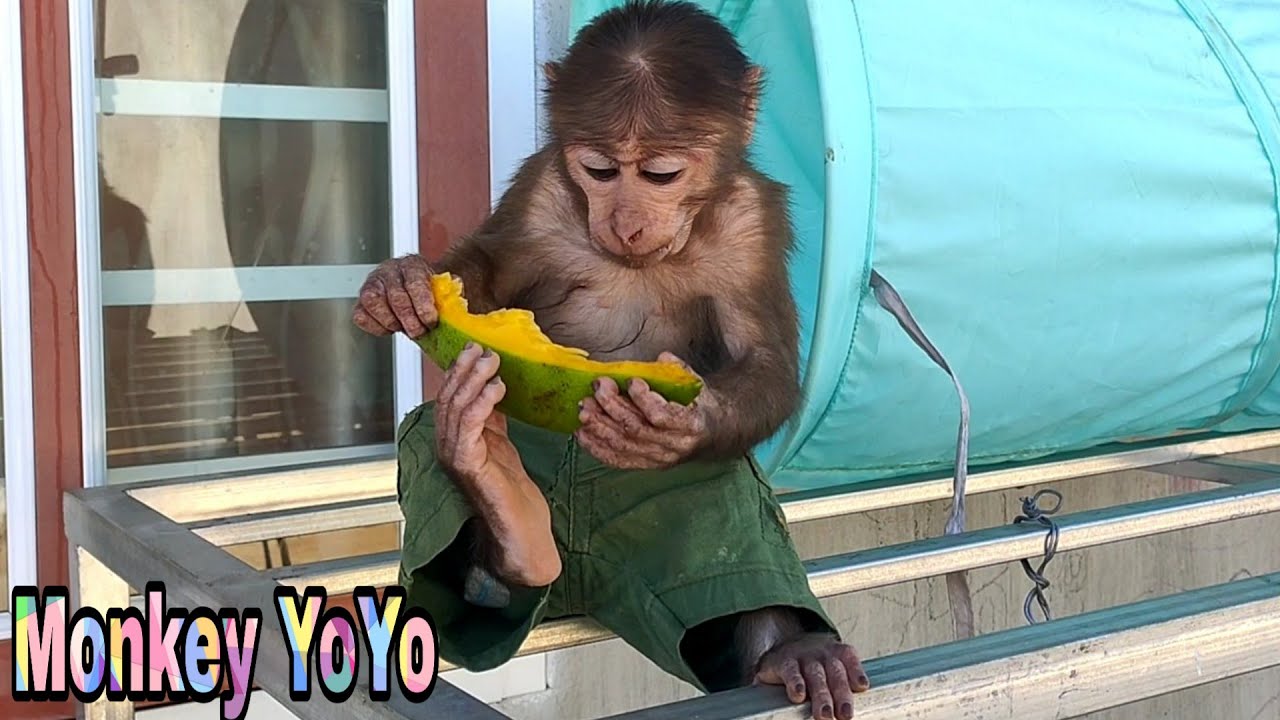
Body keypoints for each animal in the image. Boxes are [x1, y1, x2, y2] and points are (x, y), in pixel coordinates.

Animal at [353, 2, 869, 718]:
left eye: (661, 174)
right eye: (600, 171)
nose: (625, 221)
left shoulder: (753, 223)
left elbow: (762, 358)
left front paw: (688, 423)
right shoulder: (542, 187)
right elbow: (492, 270)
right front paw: (403, 282)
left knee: (723, 495)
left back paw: (791, 648)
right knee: (428, 432)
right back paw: (498, 501)